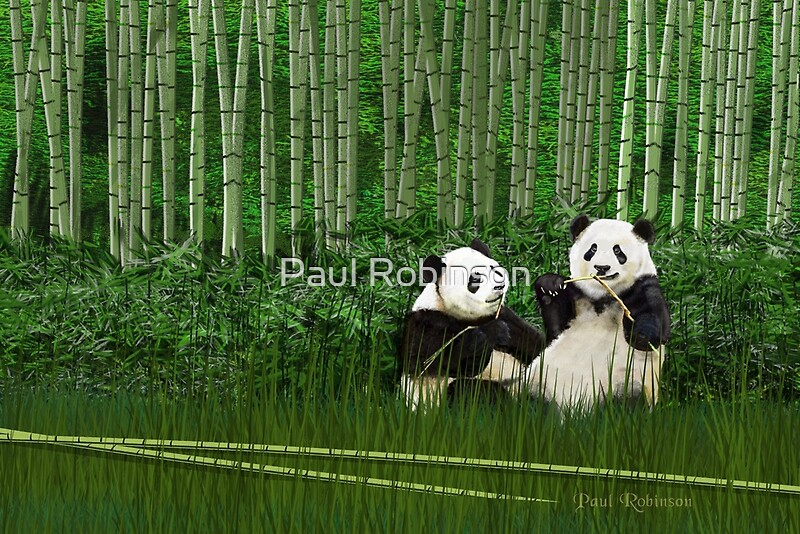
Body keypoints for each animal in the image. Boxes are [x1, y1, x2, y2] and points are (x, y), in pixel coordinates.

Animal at [399, 238, 545, 410]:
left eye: (494, 269)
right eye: (475, 279)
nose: (499, 286)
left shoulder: (507, 317)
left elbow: (538, 346)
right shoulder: (426, 322)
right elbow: (427, 362)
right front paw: (488, 335)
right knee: (470, 392)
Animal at [524, 215, 670, 411]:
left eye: (618, 251)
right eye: (592, 249)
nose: (602, 267)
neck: (602, 296)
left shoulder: (643, 286)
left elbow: (655, 322)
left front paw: (642, 335)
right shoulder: (577, 295)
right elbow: (555, 328)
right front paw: (550, 285)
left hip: (624, 384)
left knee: (627, 403)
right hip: (538, 382)